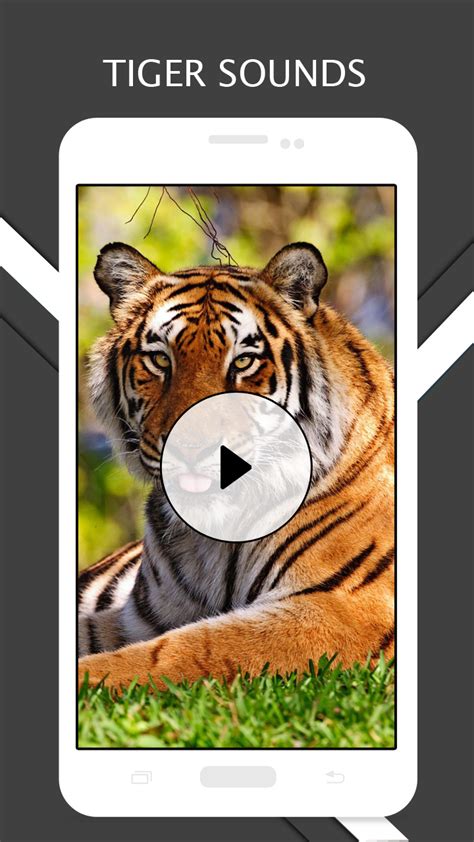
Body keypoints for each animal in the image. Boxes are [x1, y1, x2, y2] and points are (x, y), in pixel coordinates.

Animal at [78, 240, 394, 690]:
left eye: (243, 361)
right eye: (160, 359)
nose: (191, 448)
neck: (212, 536)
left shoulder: (342, 608)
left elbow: (185, 651)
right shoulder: (140, 616)